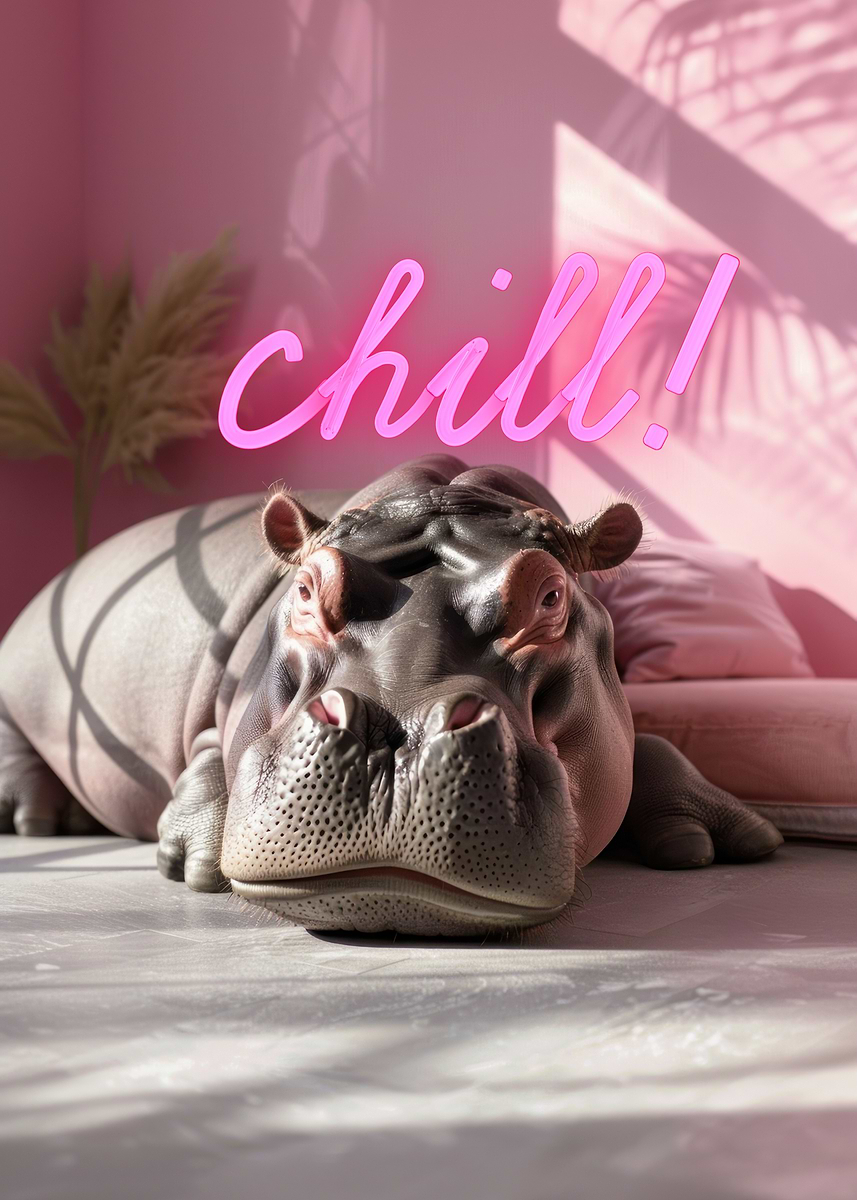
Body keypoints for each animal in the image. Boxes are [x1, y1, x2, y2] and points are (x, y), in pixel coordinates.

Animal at [0, 456, 782, 935]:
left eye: (552, 596)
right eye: (305, 589)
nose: (397, 733)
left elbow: (650, 740)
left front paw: (713, 841)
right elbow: (209, 751)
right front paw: (189, 858)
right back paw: (35, 821)